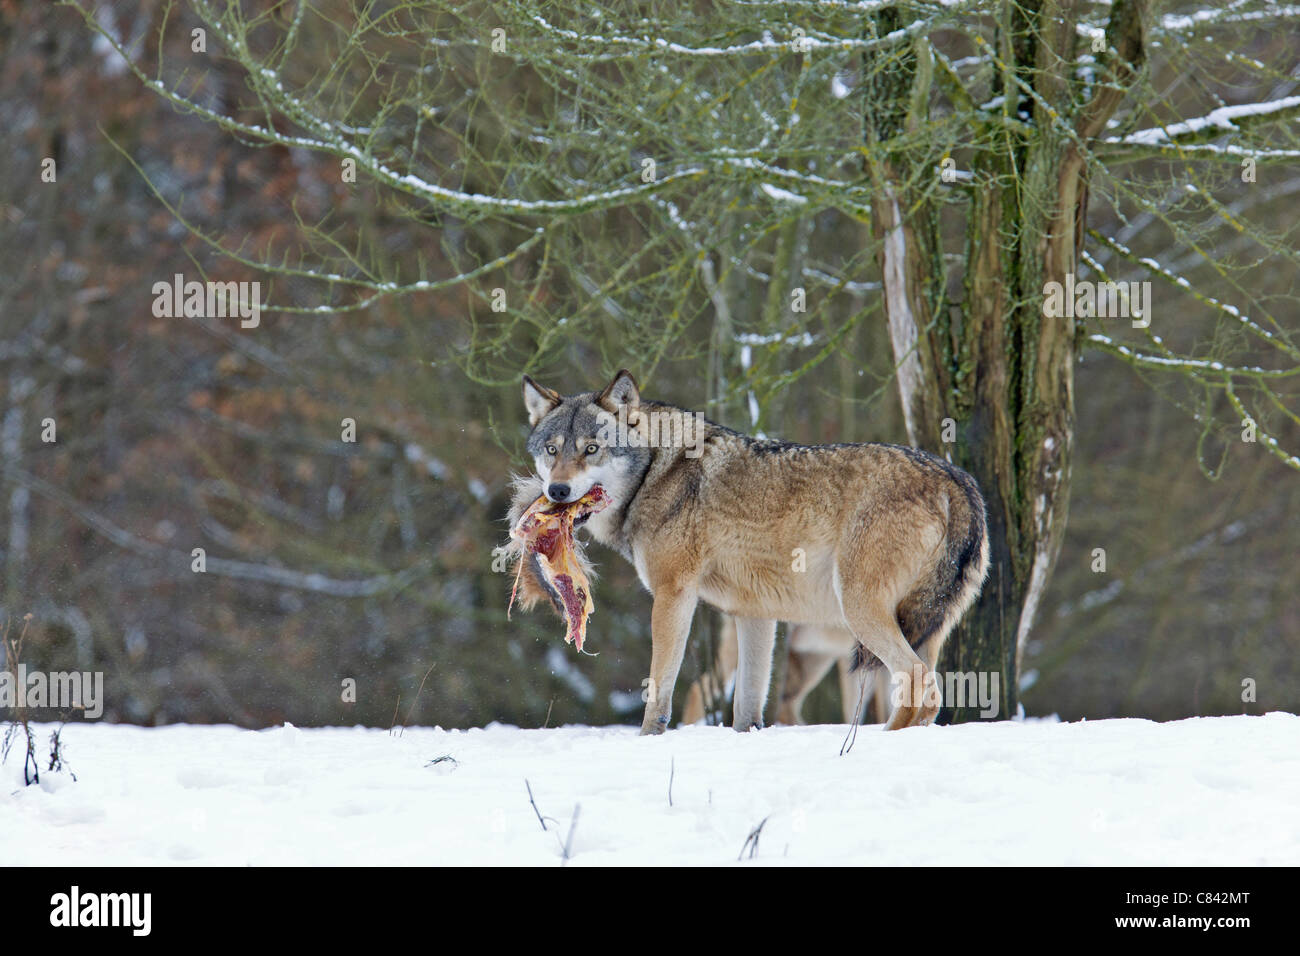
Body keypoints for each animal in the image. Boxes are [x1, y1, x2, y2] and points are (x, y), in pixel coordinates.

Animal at [509, 369, 990, 735]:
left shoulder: (673, 595)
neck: (654, 471)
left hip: (859, 614)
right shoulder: (755, 614)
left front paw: (648, 739)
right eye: (552, 451)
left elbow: (660, 689)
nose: (557, 490)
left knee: (919, 685)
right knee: (928, 695)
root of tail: (955, 479)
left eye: (592, 449)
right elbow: (748, 709)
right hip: (917, 628)